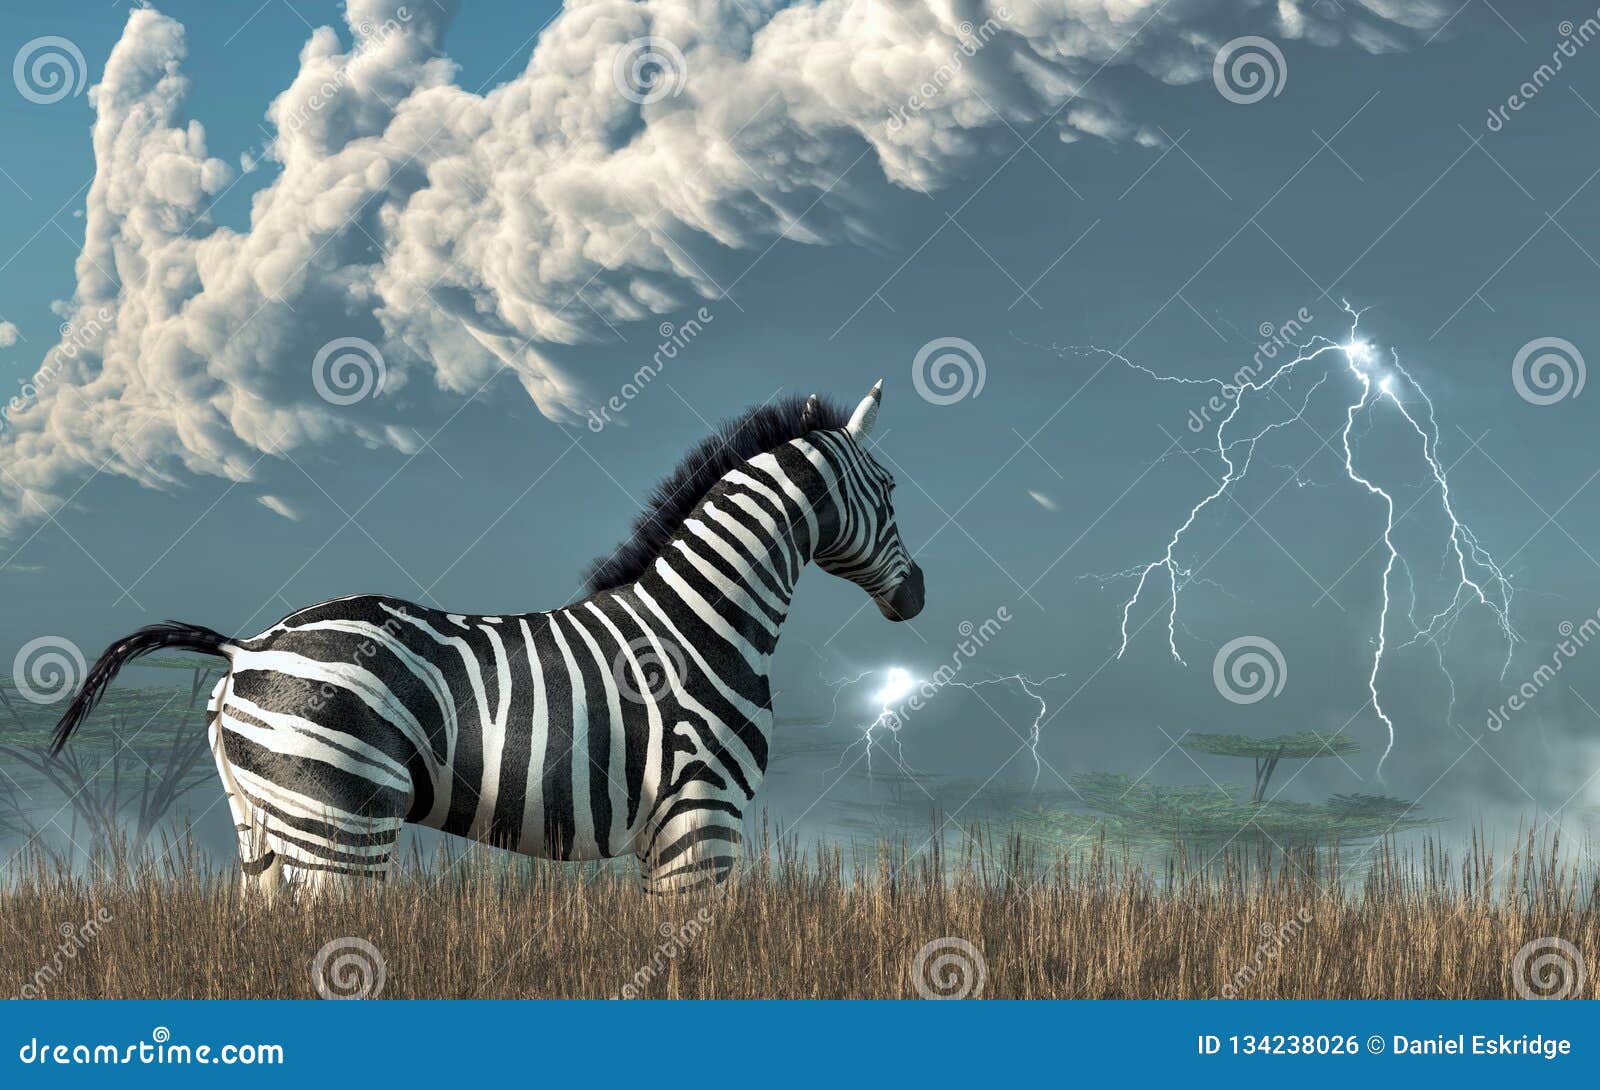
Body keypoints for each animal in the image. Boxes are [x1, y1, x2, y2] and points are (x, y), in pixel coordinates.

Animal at [51, 382, 924, 895]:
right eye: (888, 490)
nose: (917, 595)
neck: (698, 622)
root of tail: (245, 650)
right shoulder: (703, 816)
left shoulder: (671, 833)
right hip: (340, 827)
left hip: (261, 824)